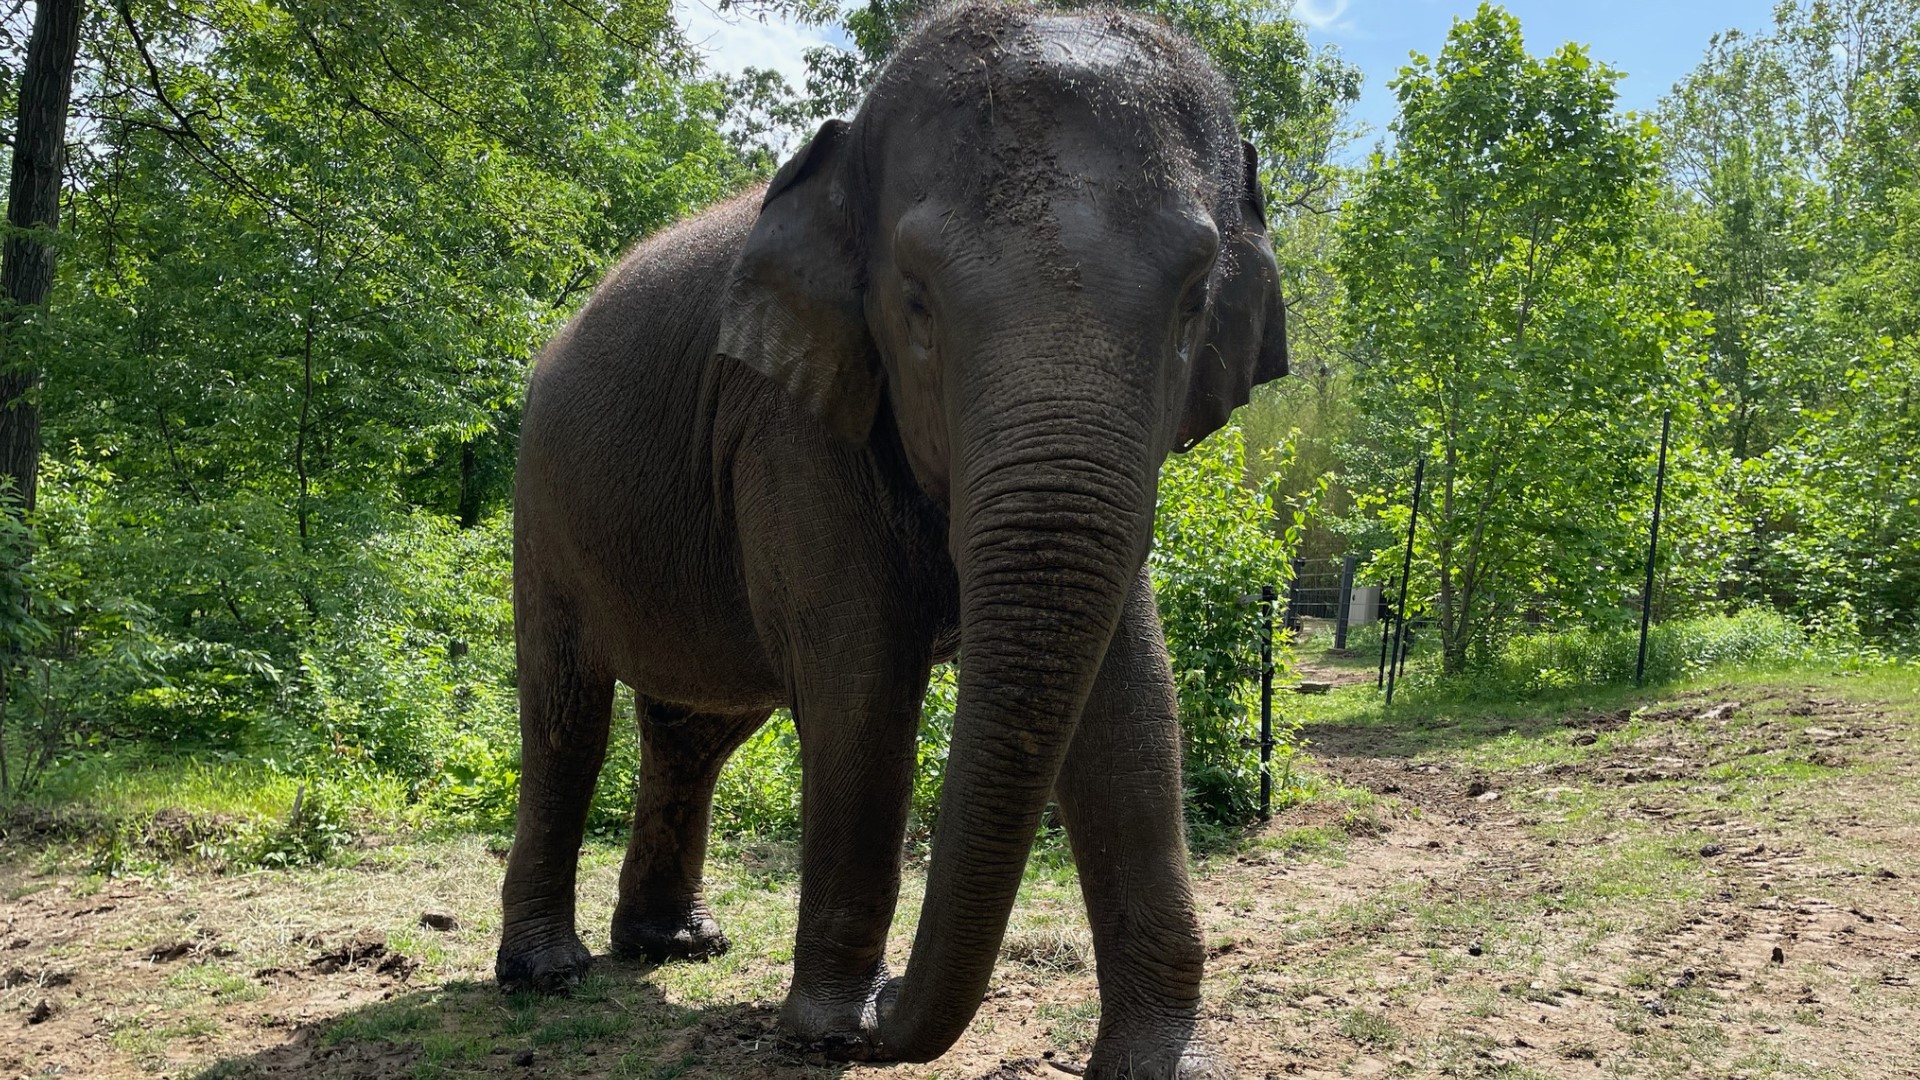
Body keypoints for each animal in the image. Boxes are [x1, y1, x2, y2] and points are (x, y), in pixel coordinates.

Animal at [495, 3, 1288, 1075]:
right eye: (915, 301)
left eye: (1196, 299)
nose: (888, 1006)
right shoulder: (788, 419)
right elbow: (861, 680)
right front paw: (827, 1029)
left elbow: (1132, 704)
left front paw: (1163, 1063)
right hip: (541, 506)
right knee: (566, 714)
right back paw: (547, 973)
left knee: (694, 728)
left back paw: (678, 946)